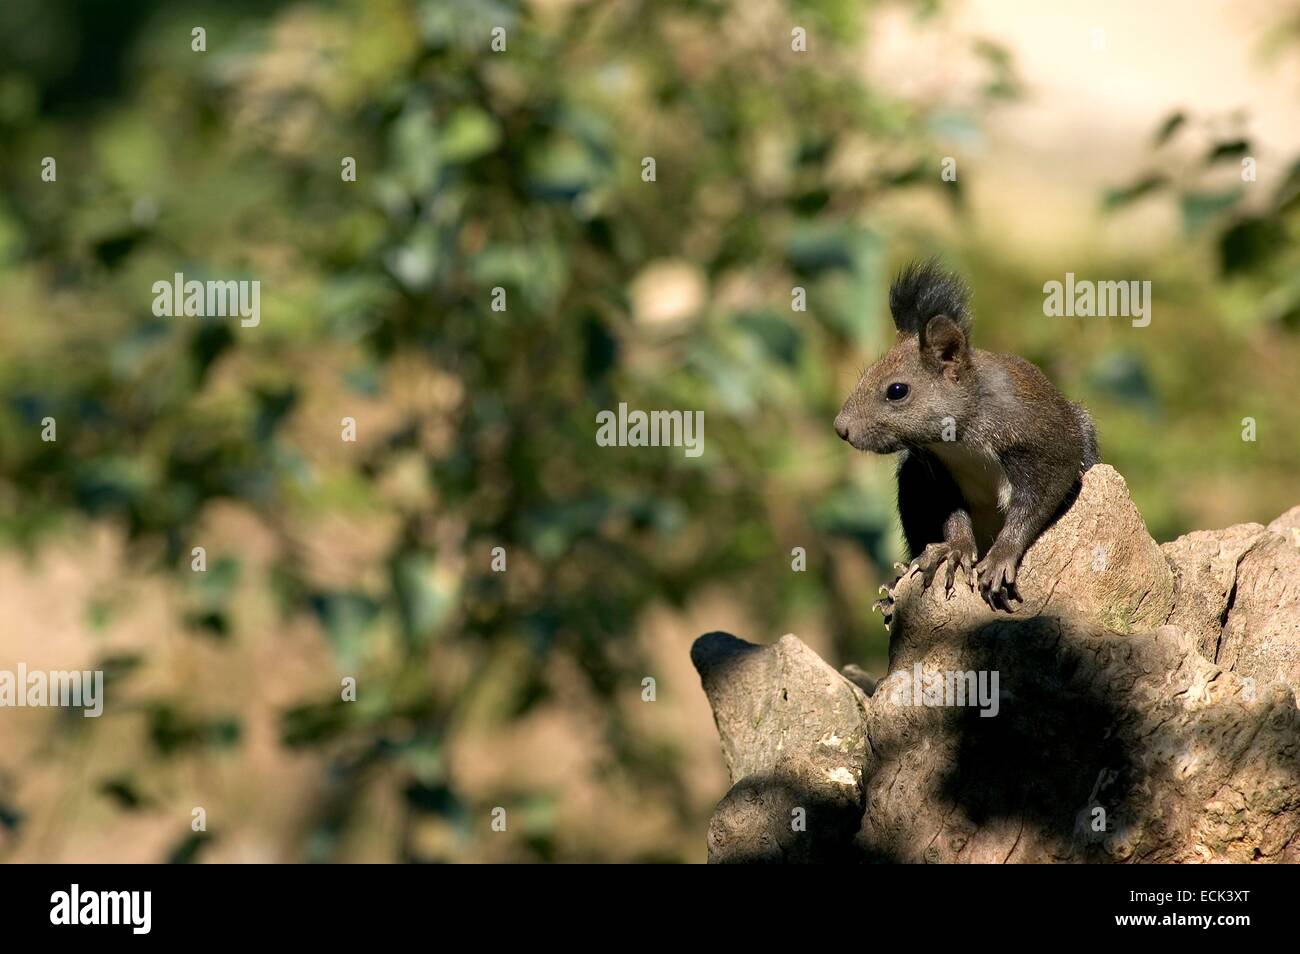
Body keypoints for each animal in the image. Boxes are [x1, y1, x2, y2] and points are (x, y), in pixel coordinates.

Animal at [833, 261, 1099, 611]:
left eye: (897, 390)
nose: (841, 427)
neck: (959, 441)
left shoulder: (1045, 444)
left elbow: (1038, 500)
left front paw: (1001, 557)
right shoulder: (932, 471)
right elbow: (951, 513)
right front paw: (955, 549)